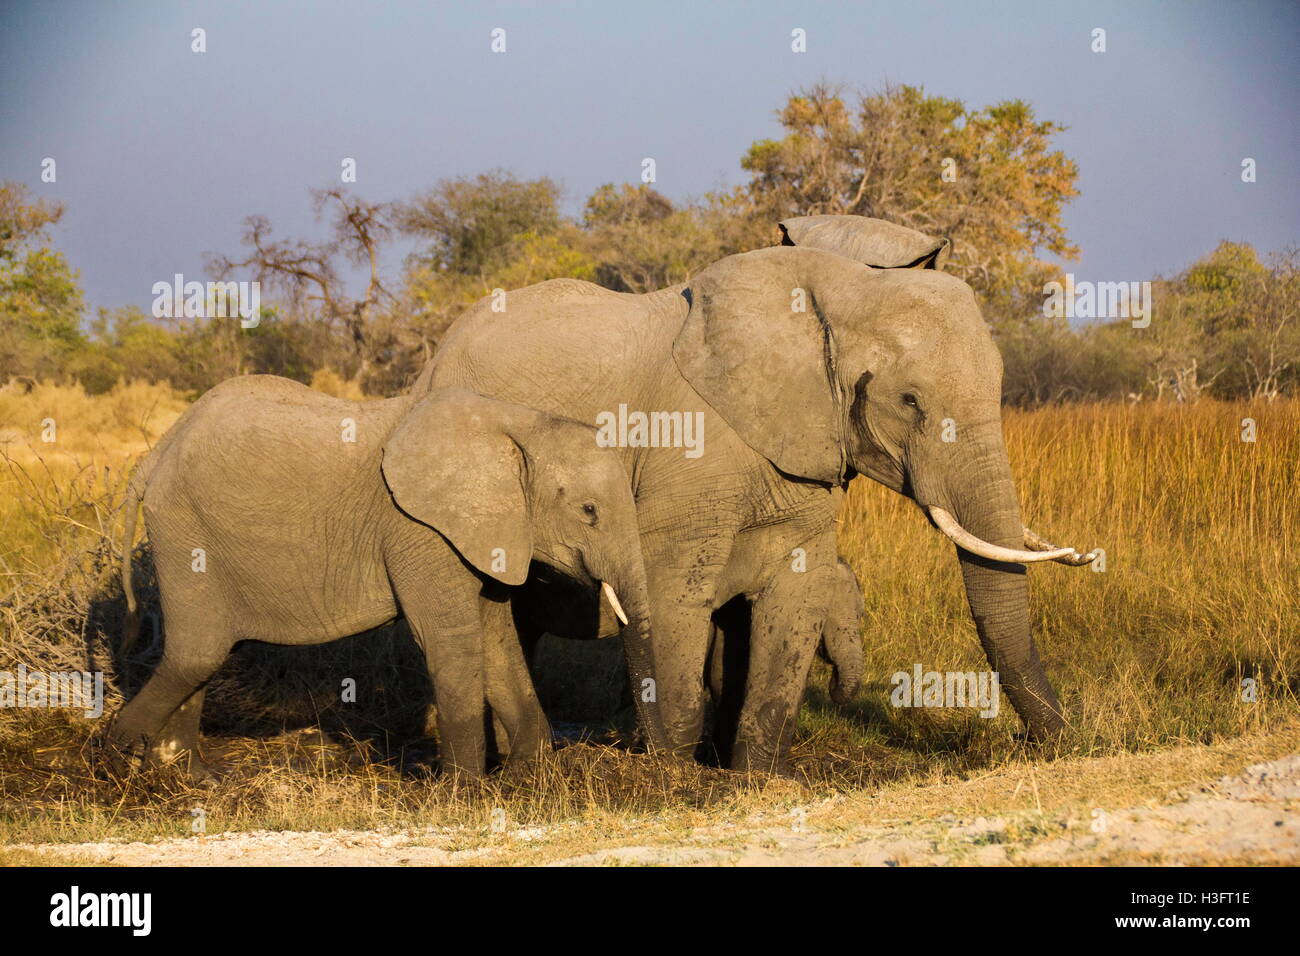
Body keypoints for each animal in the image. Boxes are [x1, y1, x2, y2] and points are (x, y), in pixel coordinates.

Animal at [110, 376, 667, 780]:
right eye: (589, 511)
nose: (663, 768)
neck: (519, 423)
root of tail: (155, 454)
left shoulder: (485, 531)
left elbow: (495, 636)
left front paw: (527, 777)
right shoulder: (418, 529)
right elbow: (449, 637)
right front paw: (462, 793)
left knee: (201, 657)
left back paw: (191, 778)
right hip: (187, 533)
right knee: (197, 653)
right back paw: (113, 759)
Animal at [414, 215, 1097, 773]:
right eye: (909, 401)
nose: (1047, 746)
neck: (831, 292)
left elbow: (797, 587)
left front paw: (753, 777)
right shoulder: (688, 447)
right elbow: (672, 589)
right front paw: (673, 775)